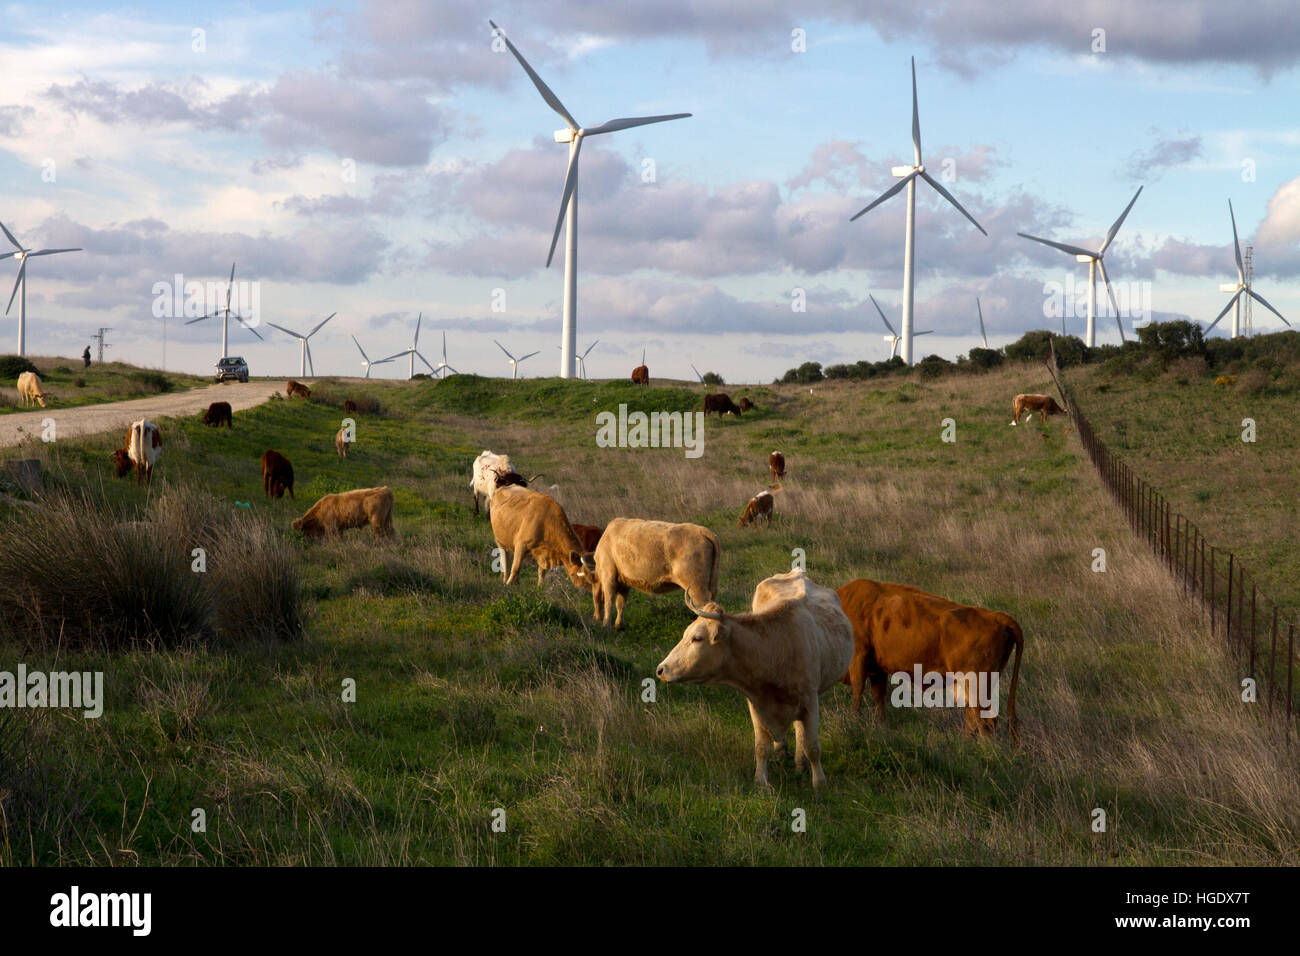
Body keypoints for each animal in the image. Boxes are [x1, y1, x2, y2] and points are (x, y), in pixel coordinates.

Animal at [591, 517, 720, 629]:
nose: (595, 618)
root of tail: (702, 530)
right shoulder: (624, 581)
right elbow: (620, 604)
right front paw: (618, 625)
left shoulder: (608, 575)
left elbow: (609, 601)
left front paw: (605, 625)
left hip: (696, 586)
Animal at [657, 570, 853, 789]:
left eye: (697, 638)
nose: (661, 669)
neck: (777, 649)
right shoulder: (756, 703)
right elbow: (761, 746)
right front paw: (761, 781)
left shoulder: (811, 701)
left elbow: (812, 747)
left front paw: (819, 782)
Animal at [836, 578, 1023, 740]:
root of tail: (997, 617)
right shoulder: (878, 669)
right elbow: (879, 699)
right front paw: (881, 727)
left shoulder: (859, 656)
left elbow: (858, 692)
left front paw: (854, 723)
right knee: (977, 718)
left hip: (976, 685)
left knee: (983, 722)